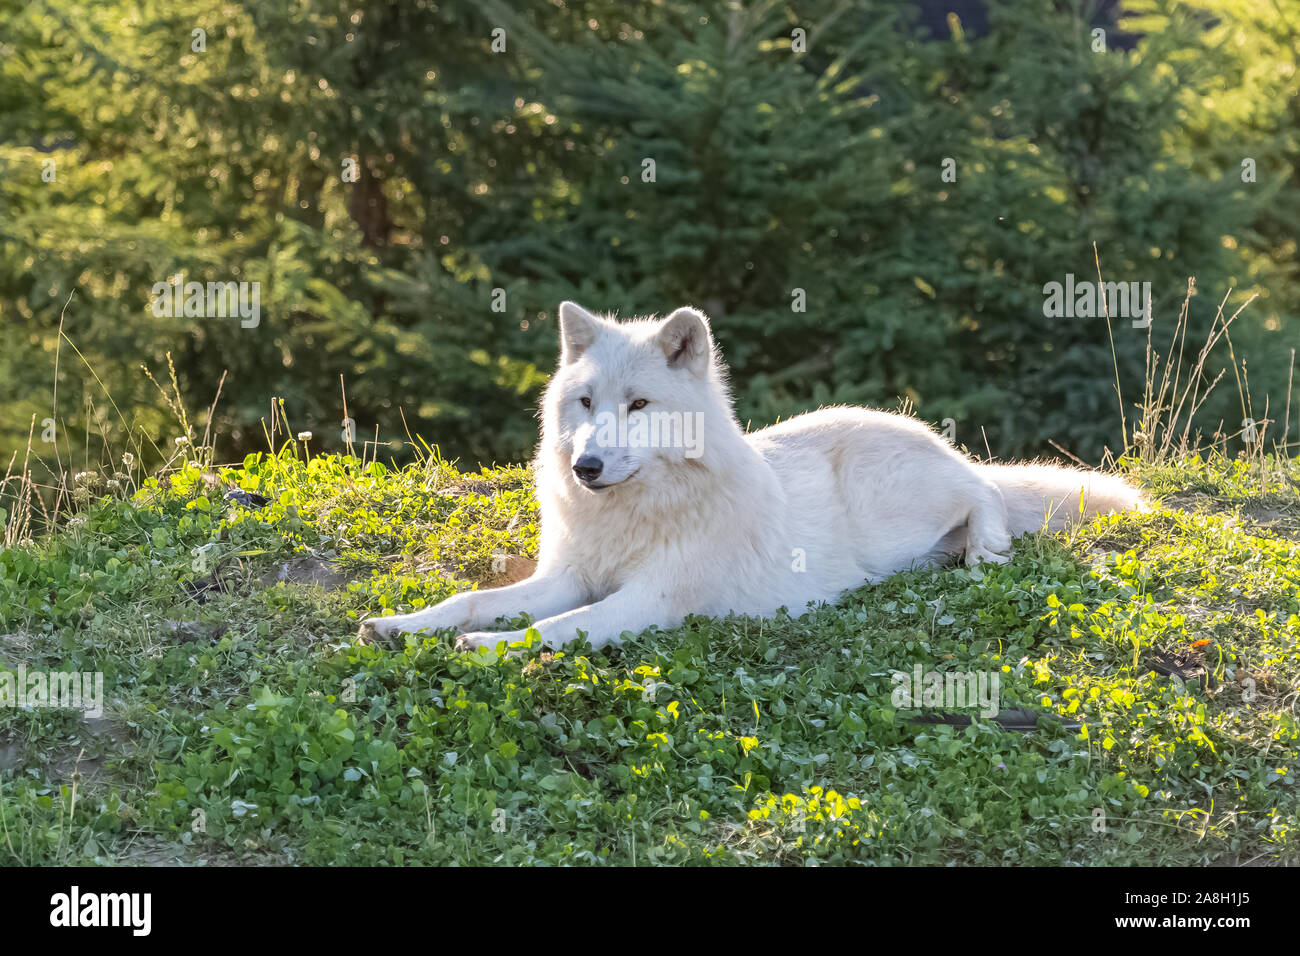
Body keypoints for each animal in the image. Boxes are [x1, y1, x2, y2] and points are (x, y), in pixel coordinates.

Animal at [360, 302, 1144, 651]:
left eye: (638, 405)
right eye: (585, 403)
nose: (586, 467)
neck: (641, 511)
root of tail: (919, 430)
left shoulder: (649, 600)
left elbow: (560, 629)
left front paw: (486, 649)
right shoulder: (571, 576)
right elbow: (471, 600)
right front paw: (401, 625)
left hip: (900, 508)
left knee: (985, 492)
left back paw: (982, 549)